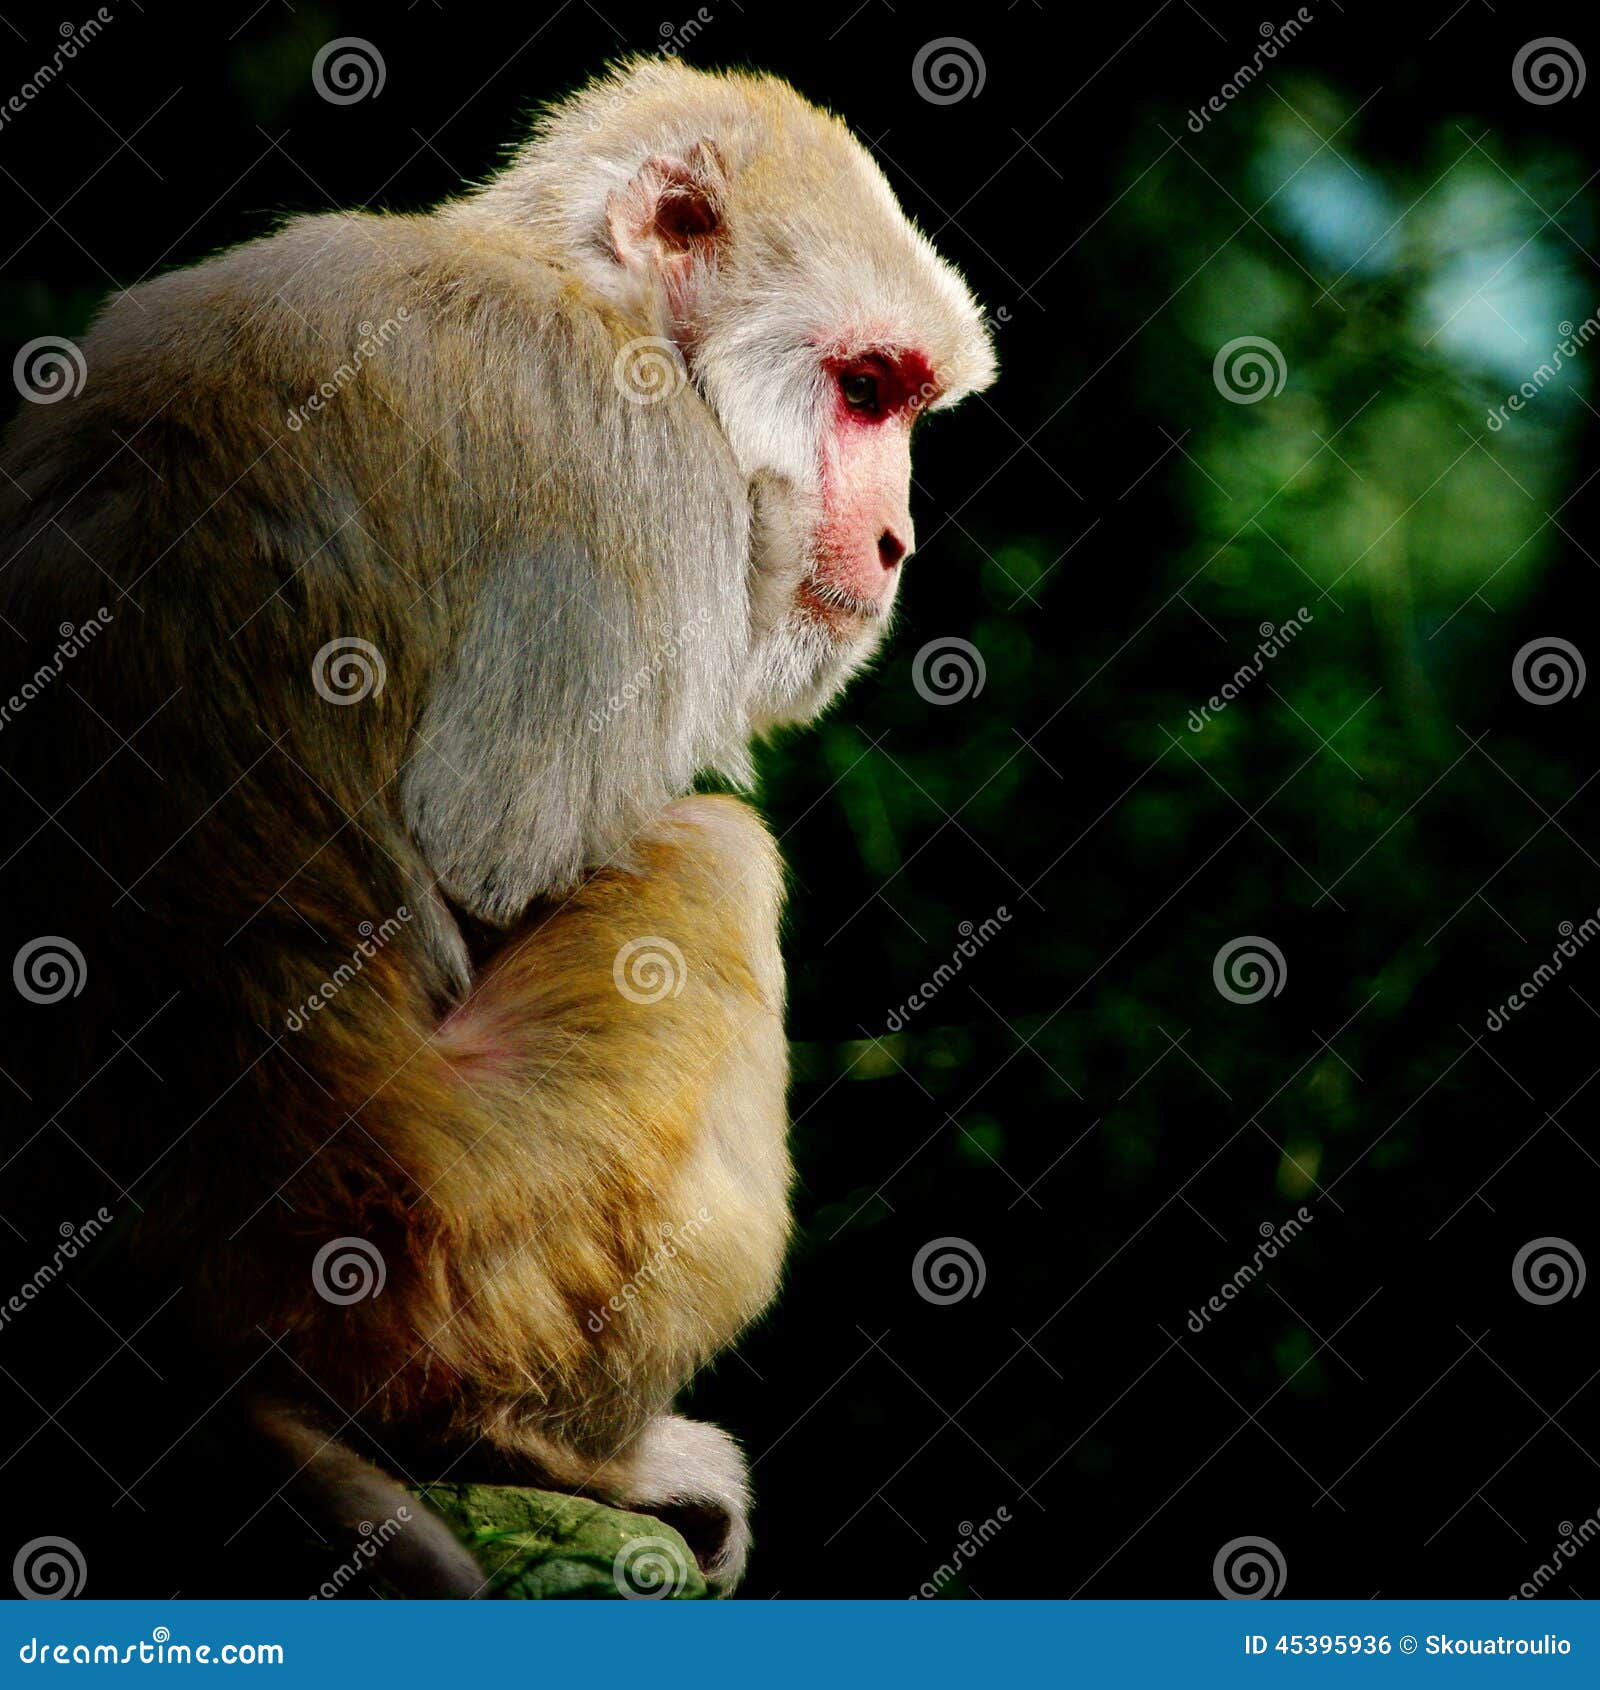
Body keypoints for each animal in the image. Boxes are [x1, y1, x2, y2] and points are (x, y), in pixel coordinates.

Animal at [0, 58, 995, 1595]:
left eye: (900, 403)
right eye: (864, 389)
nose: (894, 544)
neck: (582, 289)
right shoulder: (640, 472)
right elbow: (501, 867)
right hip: (452, 1251)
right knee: (711, 859)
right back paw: (547, 1449)